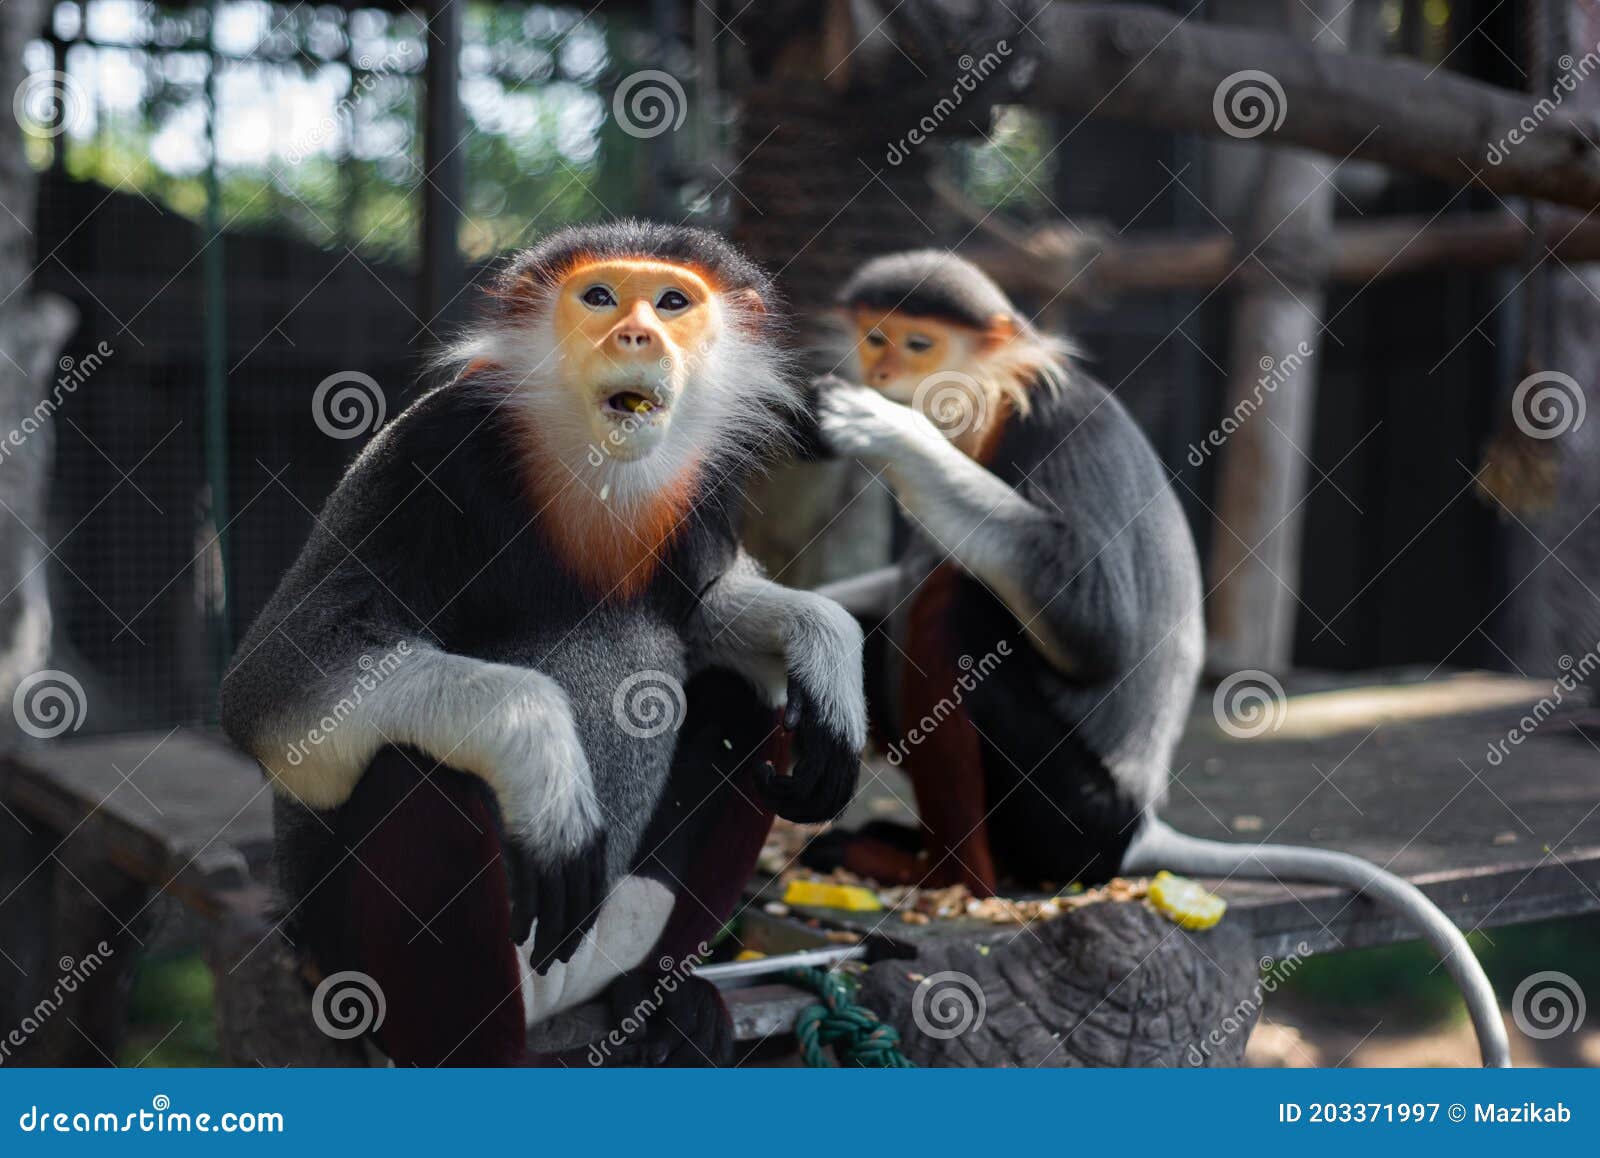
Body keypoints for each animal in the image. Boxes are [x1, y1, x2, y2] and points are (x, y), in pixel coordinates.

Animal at [220, 221, 866, 1063]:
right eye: (598, 296)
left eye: (672, 302)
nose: (636, 334)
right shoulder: (426, 454)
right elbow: (270, 679)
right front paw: (540, 753)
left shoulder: (704, 490)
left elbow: (706, 614)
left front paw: (826, 644)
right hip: (362, 956)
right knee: (419, 771)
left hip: (607, 936)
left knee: (747, 696)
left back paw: (663, 998)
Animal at [798, 249, 1510, 1068]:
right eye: (875, 338)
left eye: (918, 346)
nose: (883, 373)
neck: (996, 405)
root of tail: (1140, 823)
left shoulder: (1062, 430)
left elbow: (1098, 628)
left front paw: (882, 426)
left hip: (1077, 816)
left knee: (956, 609)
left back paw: (949, 878)